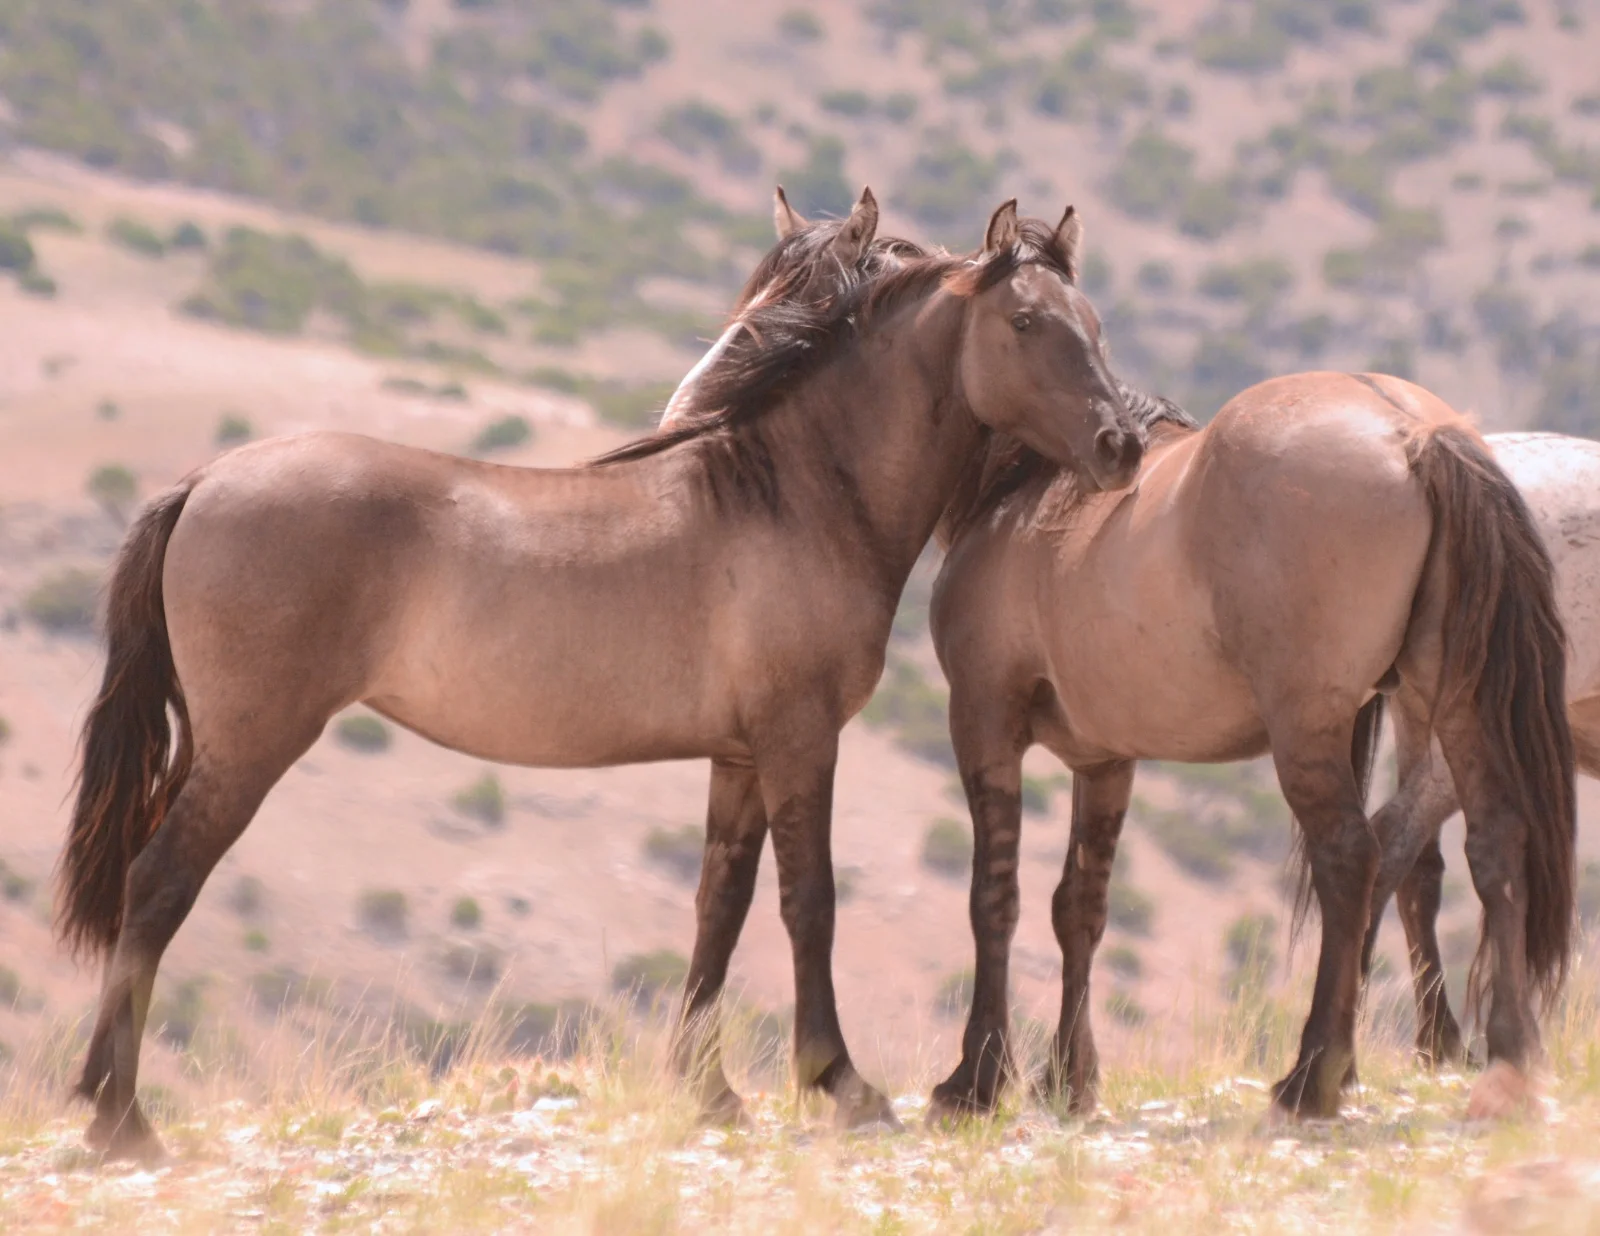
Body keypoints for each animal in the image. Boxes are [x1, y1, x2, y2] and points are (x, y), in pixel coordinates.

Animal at [57, 195, 1147, 1160]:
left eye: (1095, 324)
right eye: (1025, 323)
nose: (1121, 445)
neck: (793, 494)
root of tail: (204, 482)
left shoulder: (739, 757)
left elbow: (719, 909)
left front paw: (710, 1094)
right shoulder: (798, 740)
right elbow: (810, 903)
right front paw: (842, 1084)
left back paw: (104, 1104)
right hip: (250, 744)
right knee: (157, 885)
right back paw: (125, 1123)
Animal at [926, 369, 1574, 1124]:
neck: (1025, 488)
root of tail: (1413, 431)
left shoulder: (983, 720)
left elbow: (993, 898)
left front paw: (974, 1081)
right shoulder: (1105, 758)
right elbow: (1078, 908)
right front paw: (1068, 1080)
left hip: (1310, 727)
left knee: (1350, 860)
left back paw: (1313, 1076)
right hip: (1455, 705)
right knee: (1495, 842)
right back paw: (1510, 1060)